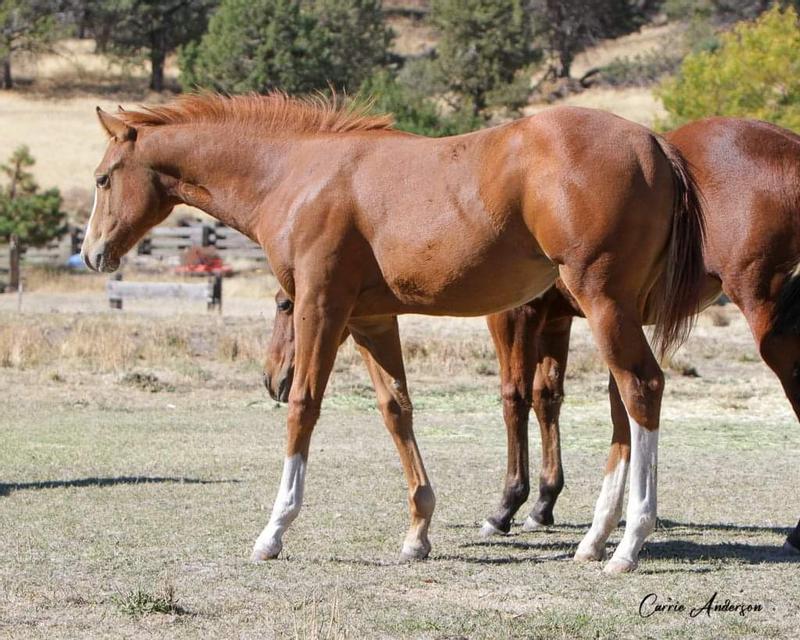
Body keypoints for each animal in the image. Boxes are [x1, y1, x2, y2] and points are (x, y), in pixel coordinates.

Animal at [81, 92, 705, 573]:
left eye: (103, 178)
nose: (91, 254)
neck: (295, 174)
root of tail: (653, 144)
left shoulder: (322, 306)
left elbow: (305, 407)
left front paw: (273, 531)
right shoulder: (371, 320)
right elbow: (396, 409)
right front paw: (417, 533)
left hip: (601, 301)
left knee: (641, 388)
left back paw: (628, 544)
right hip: (613, 310)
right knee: (623, 403)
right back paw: (595, 539)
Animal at [477, 117, 800, 556]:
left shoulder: (515, 315)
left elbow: (515, 397)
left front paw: (506, 506)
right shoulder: (556, 320)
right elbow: (548, 397)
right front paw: (543, 502)